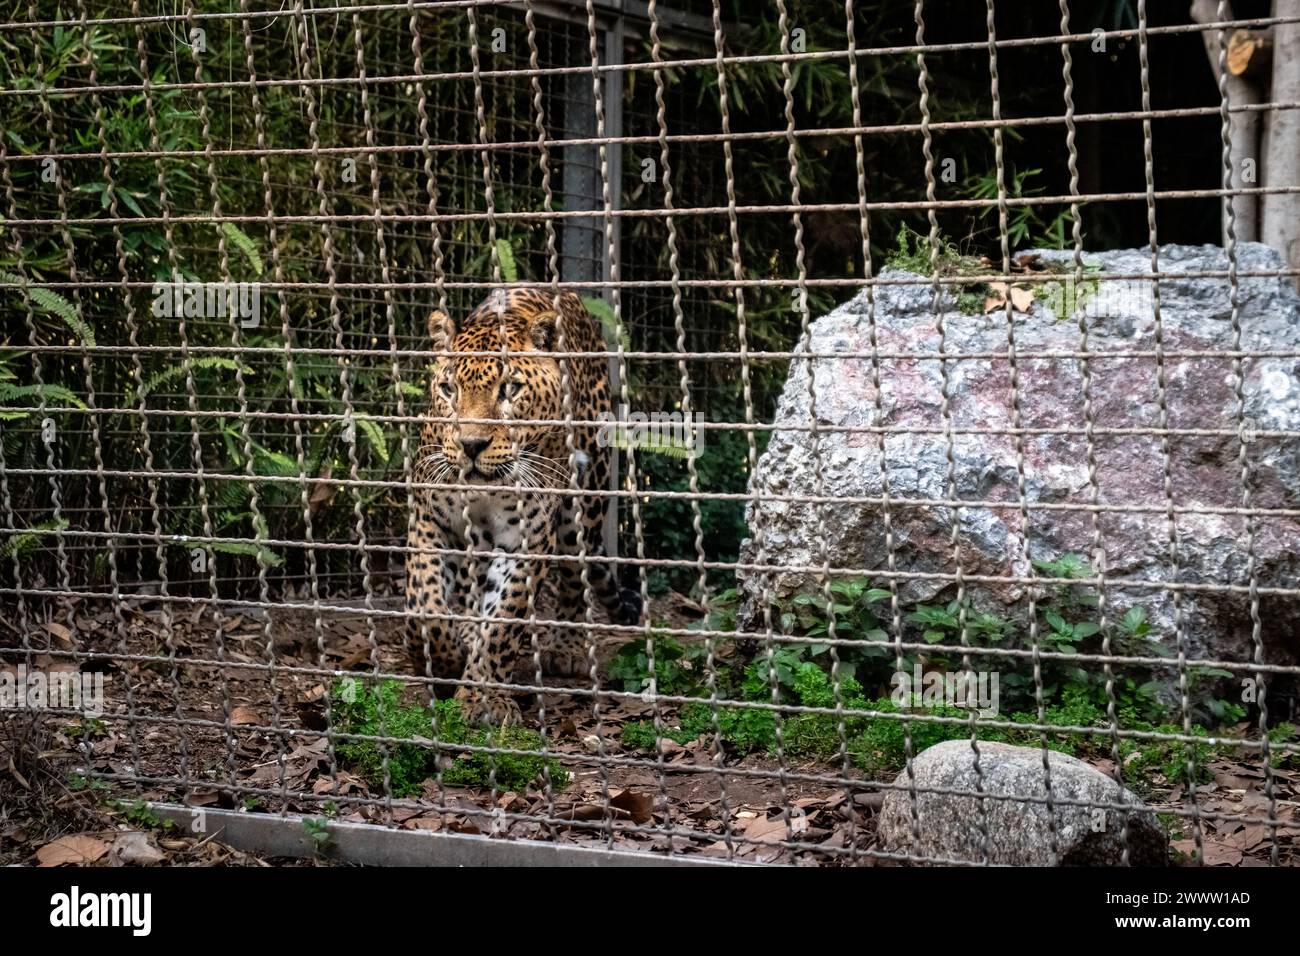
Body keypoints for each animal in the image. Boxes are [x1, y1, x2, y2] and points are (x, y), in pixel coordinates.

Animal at [405, 287, 640, 725]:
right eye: (449, 390)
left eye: (509, 390)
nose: (471, 445)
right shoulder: (429, 518)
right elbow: (424, 602)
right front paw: (444, 660)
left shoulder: (527, 538)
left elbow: (503, 622)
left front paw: (482, 696)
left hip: (583, 505)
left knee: (574, 579)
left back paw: (564, 646)